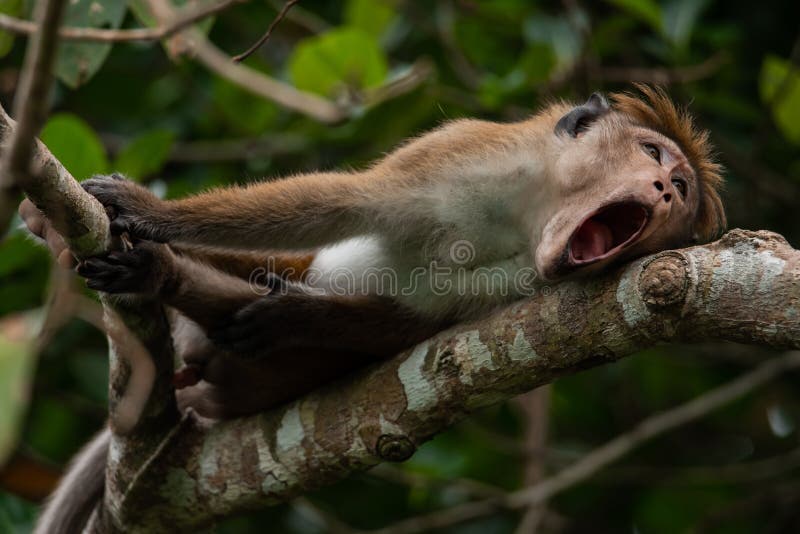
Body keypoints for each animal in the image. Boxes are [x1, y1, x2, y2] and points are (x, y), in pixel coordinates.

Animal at [28, 85, 725, 533]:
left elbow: (413, 321)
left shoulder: (519, 281)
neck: (529, 217)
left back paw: (171, 279)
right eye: (654, 156)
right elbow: (339, 202)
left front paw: (289, 316)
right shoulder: (460, 157)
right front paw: (150, 212)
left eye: (680, 187)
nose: (666, 191)